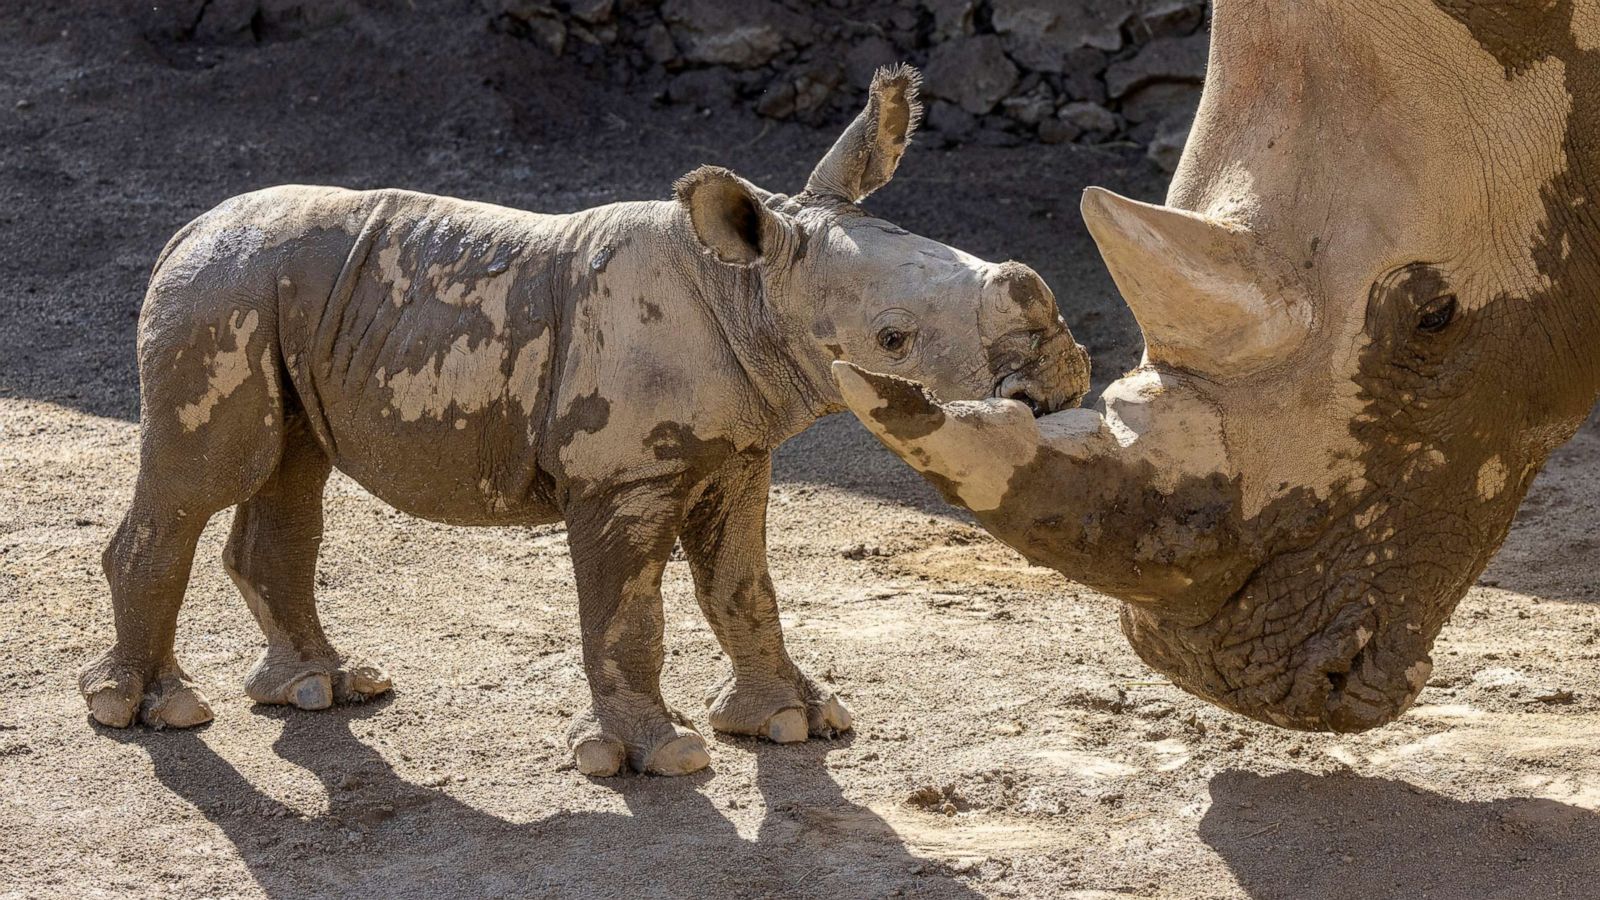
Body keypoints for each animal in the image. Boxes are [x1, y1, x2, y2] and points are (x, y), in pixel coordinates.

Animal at [78, 66, 1089, 776]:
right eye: (893, 338)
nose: (1059, 372)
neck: (751, 285)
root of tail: (185, 230)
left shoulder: (738, 452)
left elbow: (744, 585)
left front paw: (794, 722)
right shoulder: (621, 474)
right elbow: (626, 611)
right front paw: (658, 757)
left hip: (282, 294)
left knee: (290, 471)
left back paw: (324, 689)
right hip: (221, 293)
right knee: (205, 478)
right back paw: (151, 712)